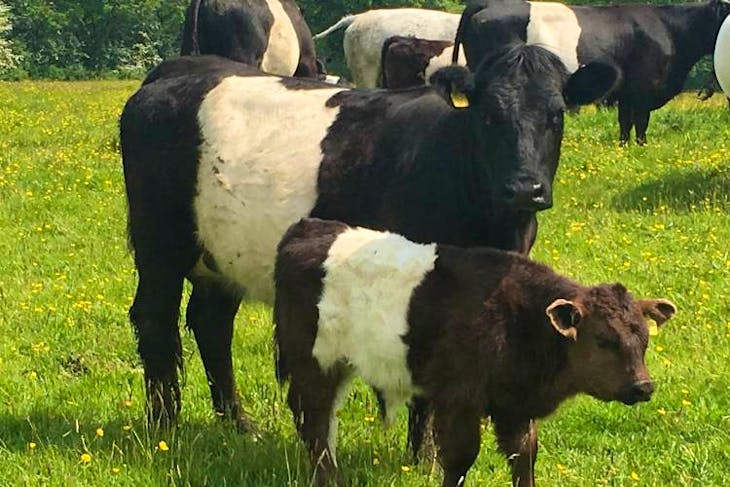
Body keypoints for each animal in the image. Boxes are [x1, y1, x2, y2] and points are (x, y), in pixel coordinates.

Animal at [119, 49, 618, 432]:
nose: (524, 188)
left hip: (223, 253)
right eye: (489, 116)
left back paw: (237, 424)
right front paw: (424, 458)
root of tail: (181, 68)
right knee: (155, 318)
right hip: (159, 244)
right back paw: (164, 425)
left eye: (557, 114)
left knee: (210, 322)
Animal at [274, 217, 677, 487]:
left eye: (644, 339)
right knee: (313, 419)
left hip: (337, 364)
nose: (643, 386)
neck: (518, 319)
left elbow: (524, 456)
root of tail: (308, 227)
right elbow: (459, 458)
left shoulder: (514, 408)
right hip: (313, 362)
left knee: (323, 422)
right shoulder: (460, 399)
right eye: (603, 340)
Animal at [453, 0, 730, 145]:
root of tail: (488, 4)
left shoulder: (626, 94)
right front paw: (642, 147)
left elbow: (625, 123)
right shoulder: (643, 90)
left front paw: (624, 148)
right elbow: (640, 123)